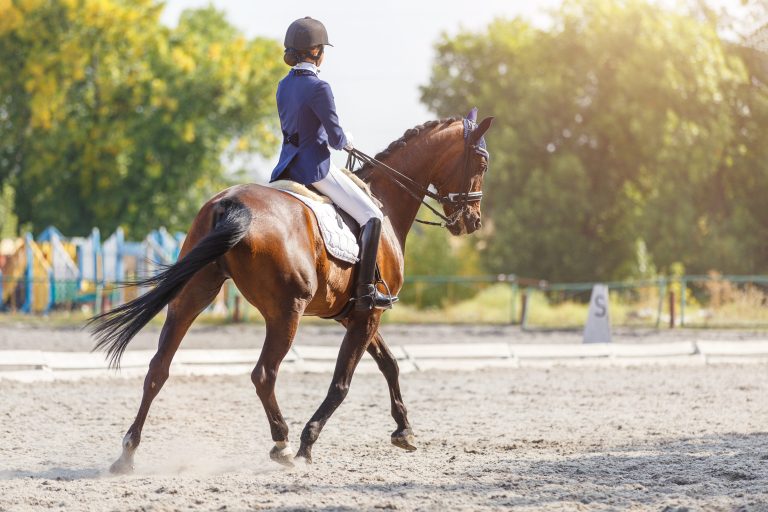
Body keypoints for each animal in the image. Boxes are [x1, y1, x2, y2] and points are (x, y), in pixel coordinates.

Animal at [90, 112, 494, 473]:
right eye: (482, 162)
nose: (473, 221)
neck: (387, 200)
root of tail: (231, 203)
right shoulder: (369, 313)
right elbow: (342, 383)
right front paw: (307, 443)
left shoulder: (356, 315)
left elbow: (390, 364)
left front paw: (404, 431)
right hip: (286, 312)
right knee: (264, 375)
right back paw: (282, 444)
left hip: (191, 297)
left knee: (158, 368)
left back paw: (127, 453)